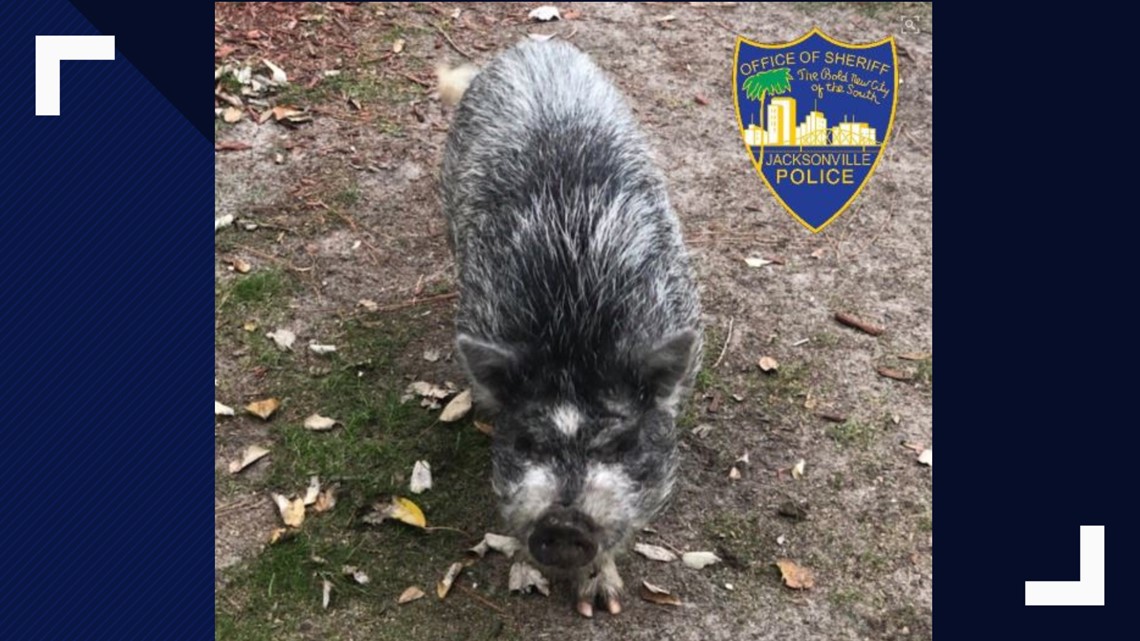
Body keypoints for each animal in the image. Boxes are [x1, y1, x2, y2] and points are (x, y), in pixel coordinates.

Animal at [440, 40, 702, 617]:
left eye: (621, 443)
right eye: (526, 441)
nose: (563, 523)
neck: (575, 338)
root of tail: (532, 45)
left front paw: (601, 605)